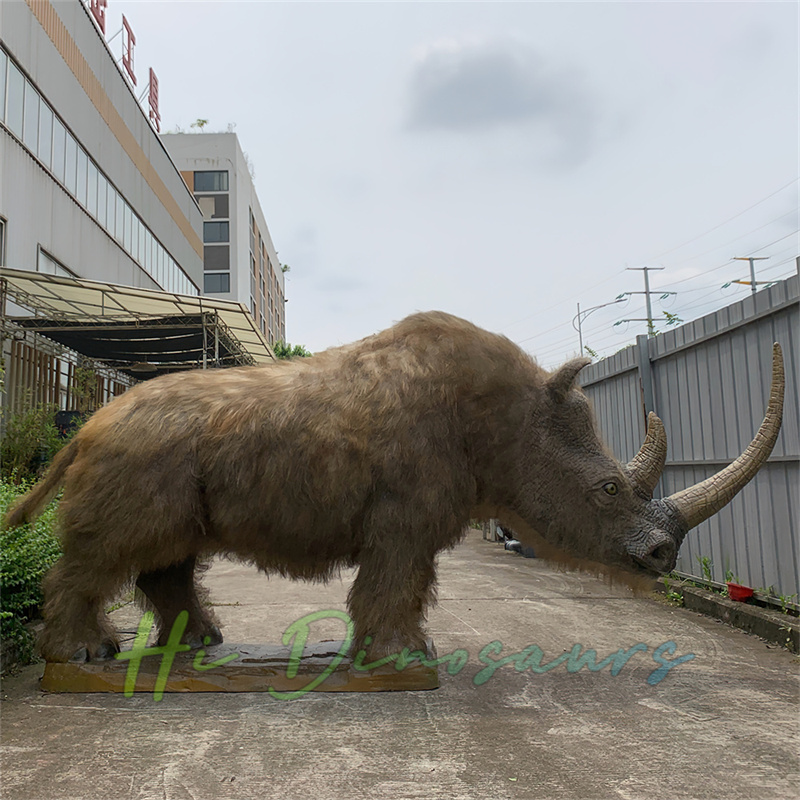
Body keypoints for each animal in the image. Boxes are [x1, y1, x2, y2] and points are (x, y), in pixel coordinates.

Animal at [4, 312, 784, 662]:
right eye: (607, 490)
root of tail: (88, 422)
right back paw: (87, 658)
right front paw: (407, 658)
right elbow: (398, 579)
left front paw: (396, 654)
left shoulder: (409, 514)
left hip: (156, 452)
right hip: (138, 454)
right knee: (115, 554)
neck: (510, 416)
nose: (662, 560)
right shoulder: (405, 515)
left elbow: (402, 582)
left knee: (166, 554)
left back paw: (198, 648)